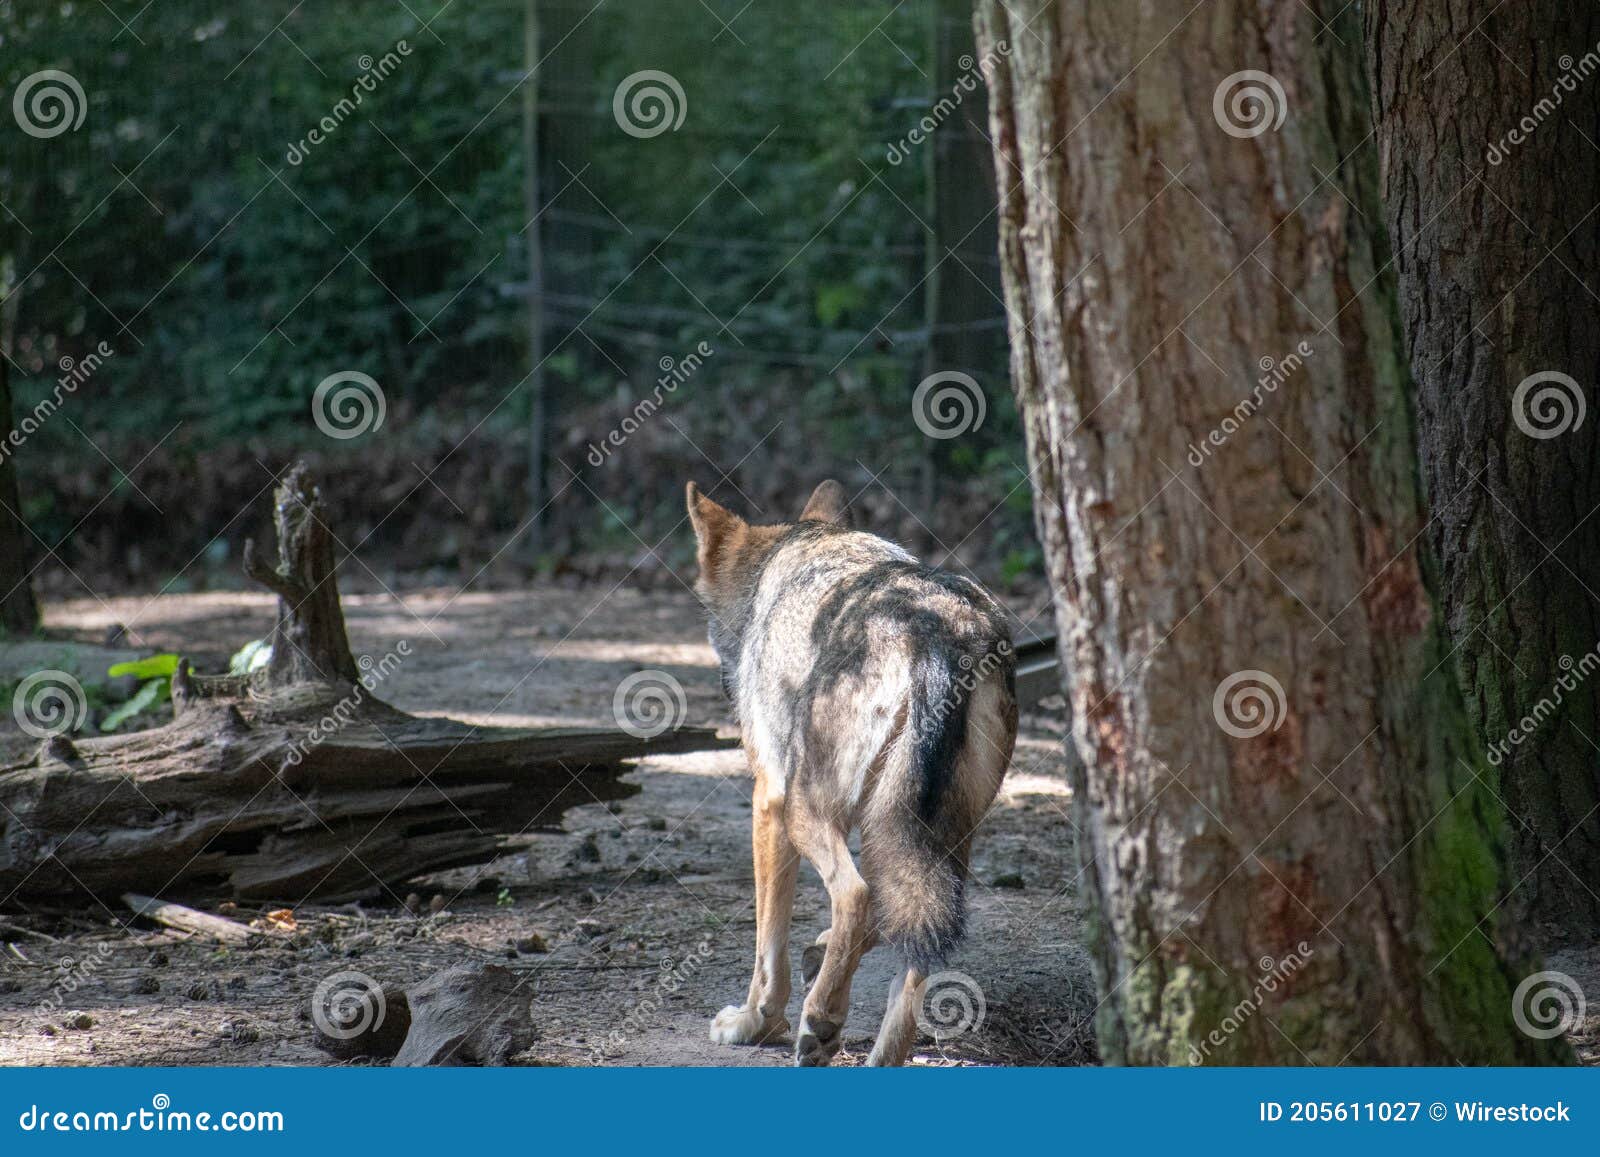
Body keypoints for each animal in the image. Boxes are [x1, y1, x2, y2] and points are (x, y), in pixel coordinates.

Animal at [687, 479, 1017, 1066]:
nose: (729, 684)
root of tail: (941, 637)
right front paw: (818, 955)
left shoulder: (768, 802)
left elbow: (767, 949)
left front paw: (753, 1022)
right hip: (944, 839)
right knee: (918, 943)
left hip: (806, 811)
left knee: (858, 898)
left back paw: (819, 1022)